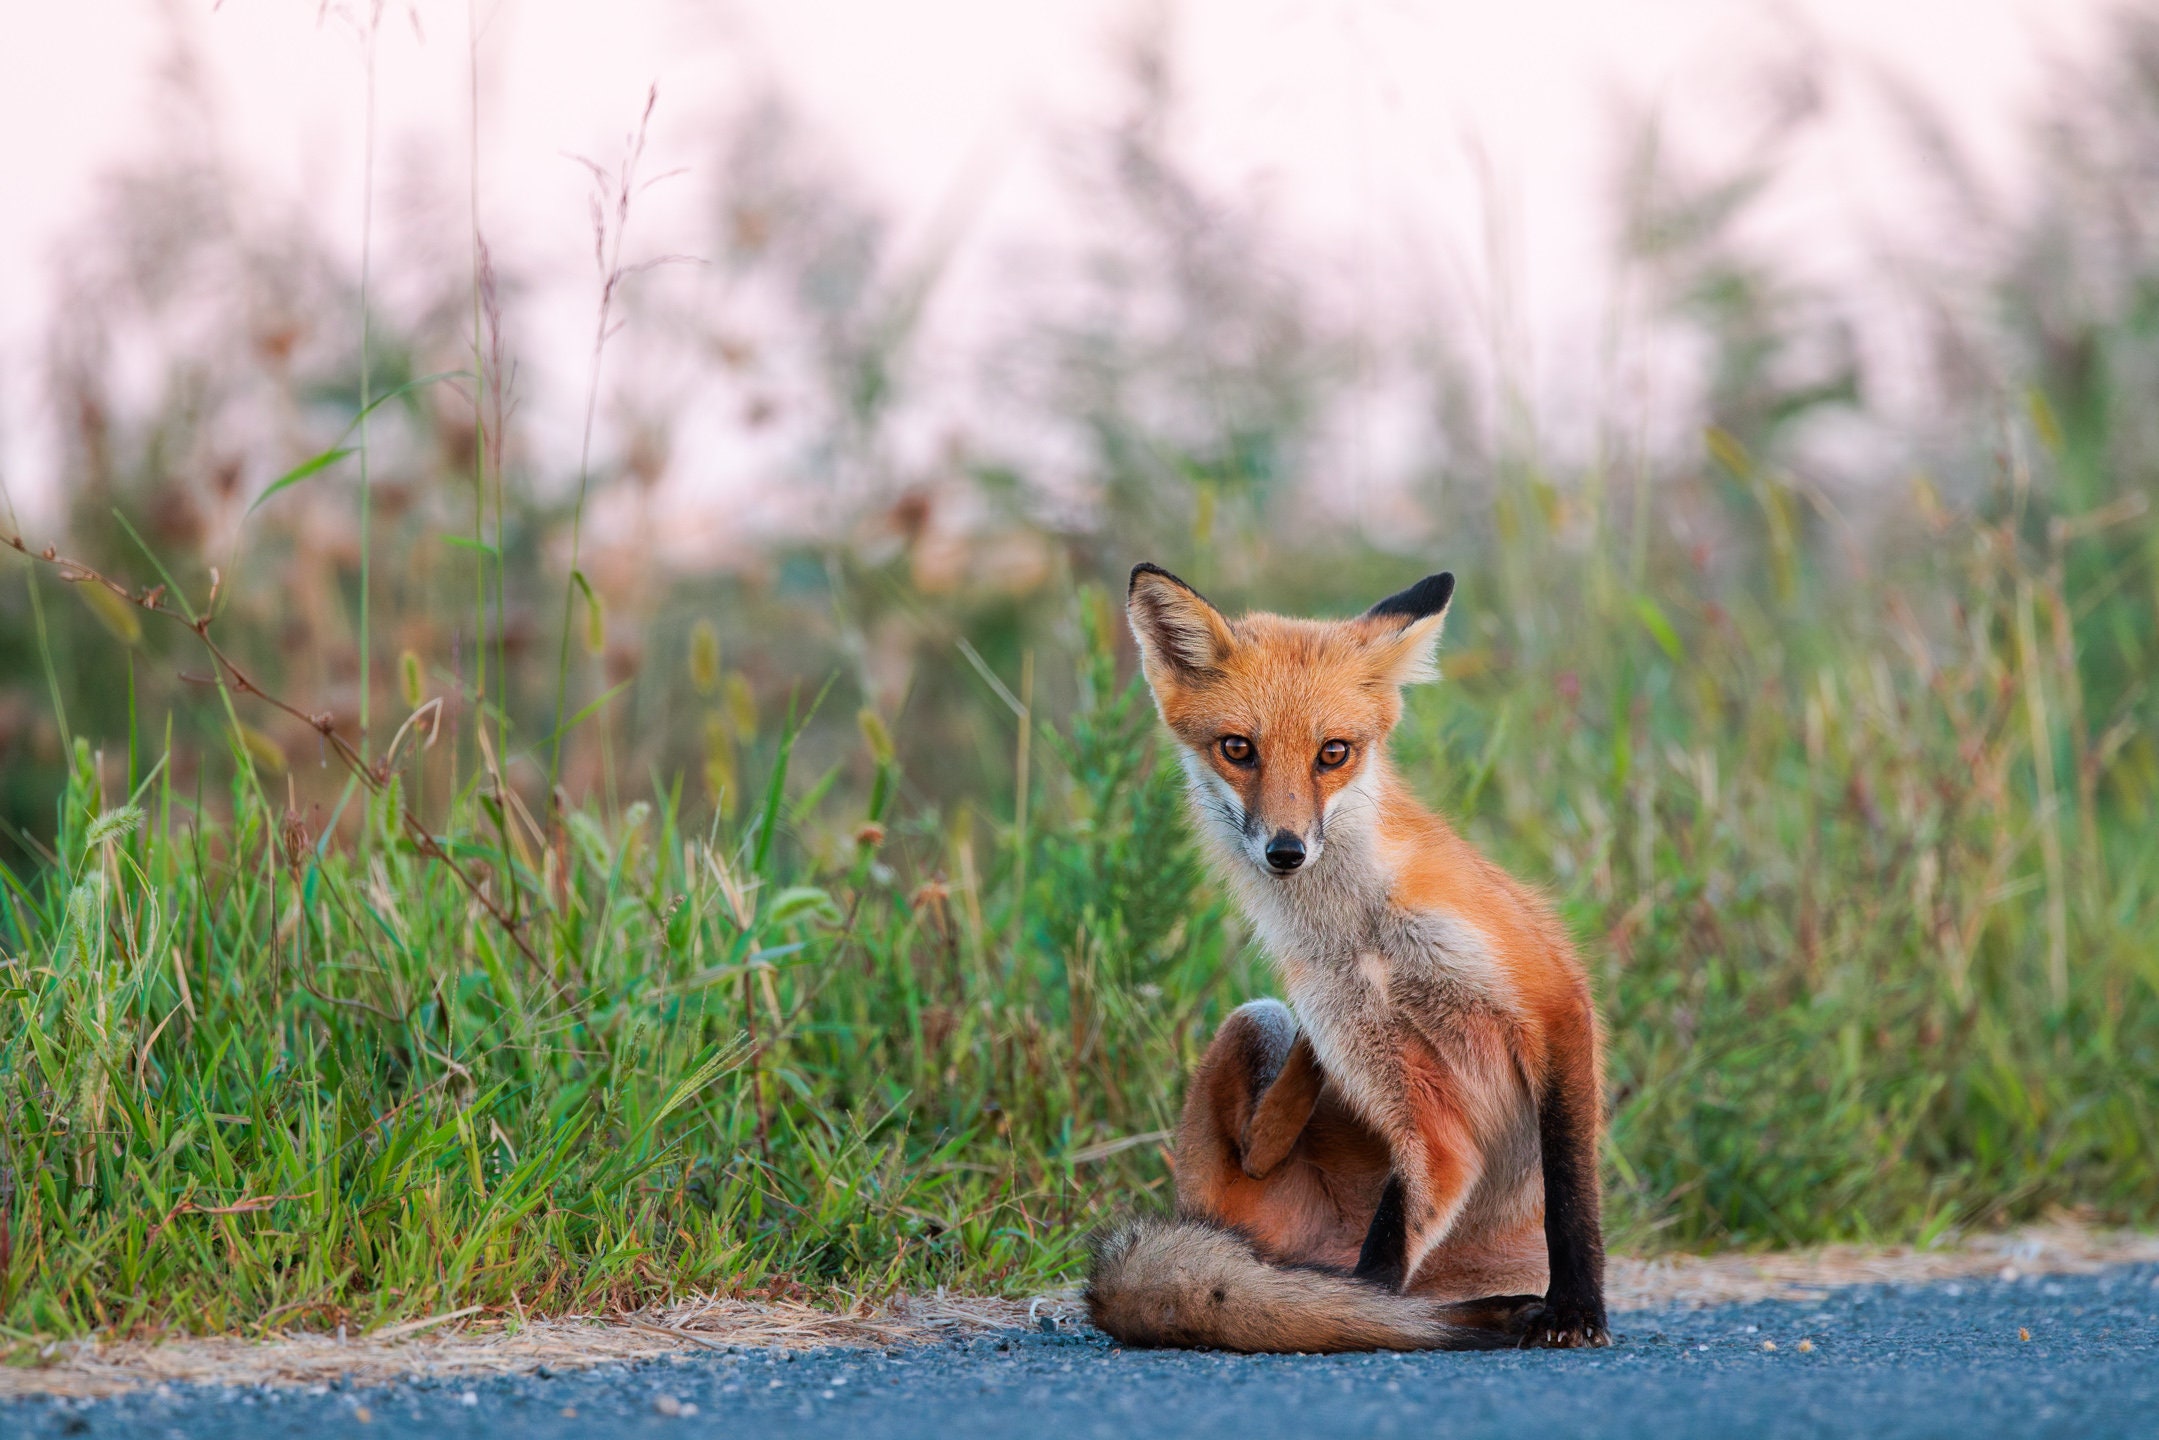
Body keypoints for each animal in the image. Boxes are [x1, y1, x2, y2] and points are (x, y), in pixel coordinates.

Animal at [1085, 563, 1609, 1353]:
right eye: (1237, 748)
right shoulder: (1400, 1085)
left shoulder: (1549, 1001)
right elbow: (1389, 1245)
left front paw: (1577, 1309)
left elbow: (1570, 1191)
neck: (1362, 933)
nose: (1286, 850)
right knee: (1343, 1269)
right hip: (1261, 1024)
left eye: (1333, 752)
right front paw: (1361, 1315)